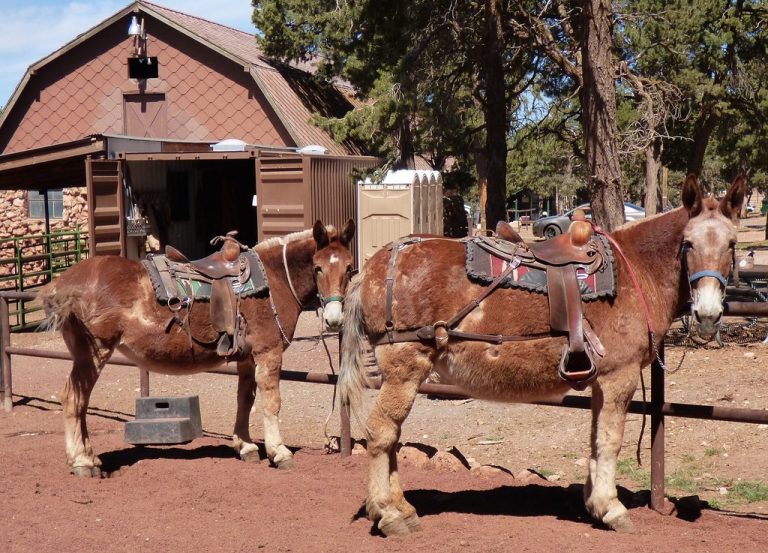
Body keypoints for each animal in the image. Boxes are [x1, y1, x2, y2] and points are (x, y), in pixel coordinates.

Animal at [39, 219, 356, 476]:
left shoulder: (246, 358)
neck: (274, 280)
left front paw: (246, 446)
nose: (334, 319)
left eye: (349, 267)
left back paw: (90, 458)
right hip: (93, 353)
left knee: (79, 402)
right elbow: (271, 403)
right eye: (318, 267)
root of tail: (63, 283)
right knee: (74, 399)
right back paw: (82, 462)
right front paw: (279, 452)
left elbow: (245, 399)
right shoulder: (268, 353)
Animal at [340, 174, 744, 535]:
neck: (637, 270)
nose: (708, 313)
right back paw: (389, 513)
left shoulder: (601, 382)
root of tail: (378, 263)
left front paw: (593, 502)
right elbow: (610, 440)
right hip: (404, 370)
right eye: (688, 243)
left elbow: (595, 437)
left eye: (732, 244)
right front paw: (611, 508)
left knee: (392, 436)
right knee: (382, 433)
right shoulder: (620, 377)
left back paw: (400, 507)